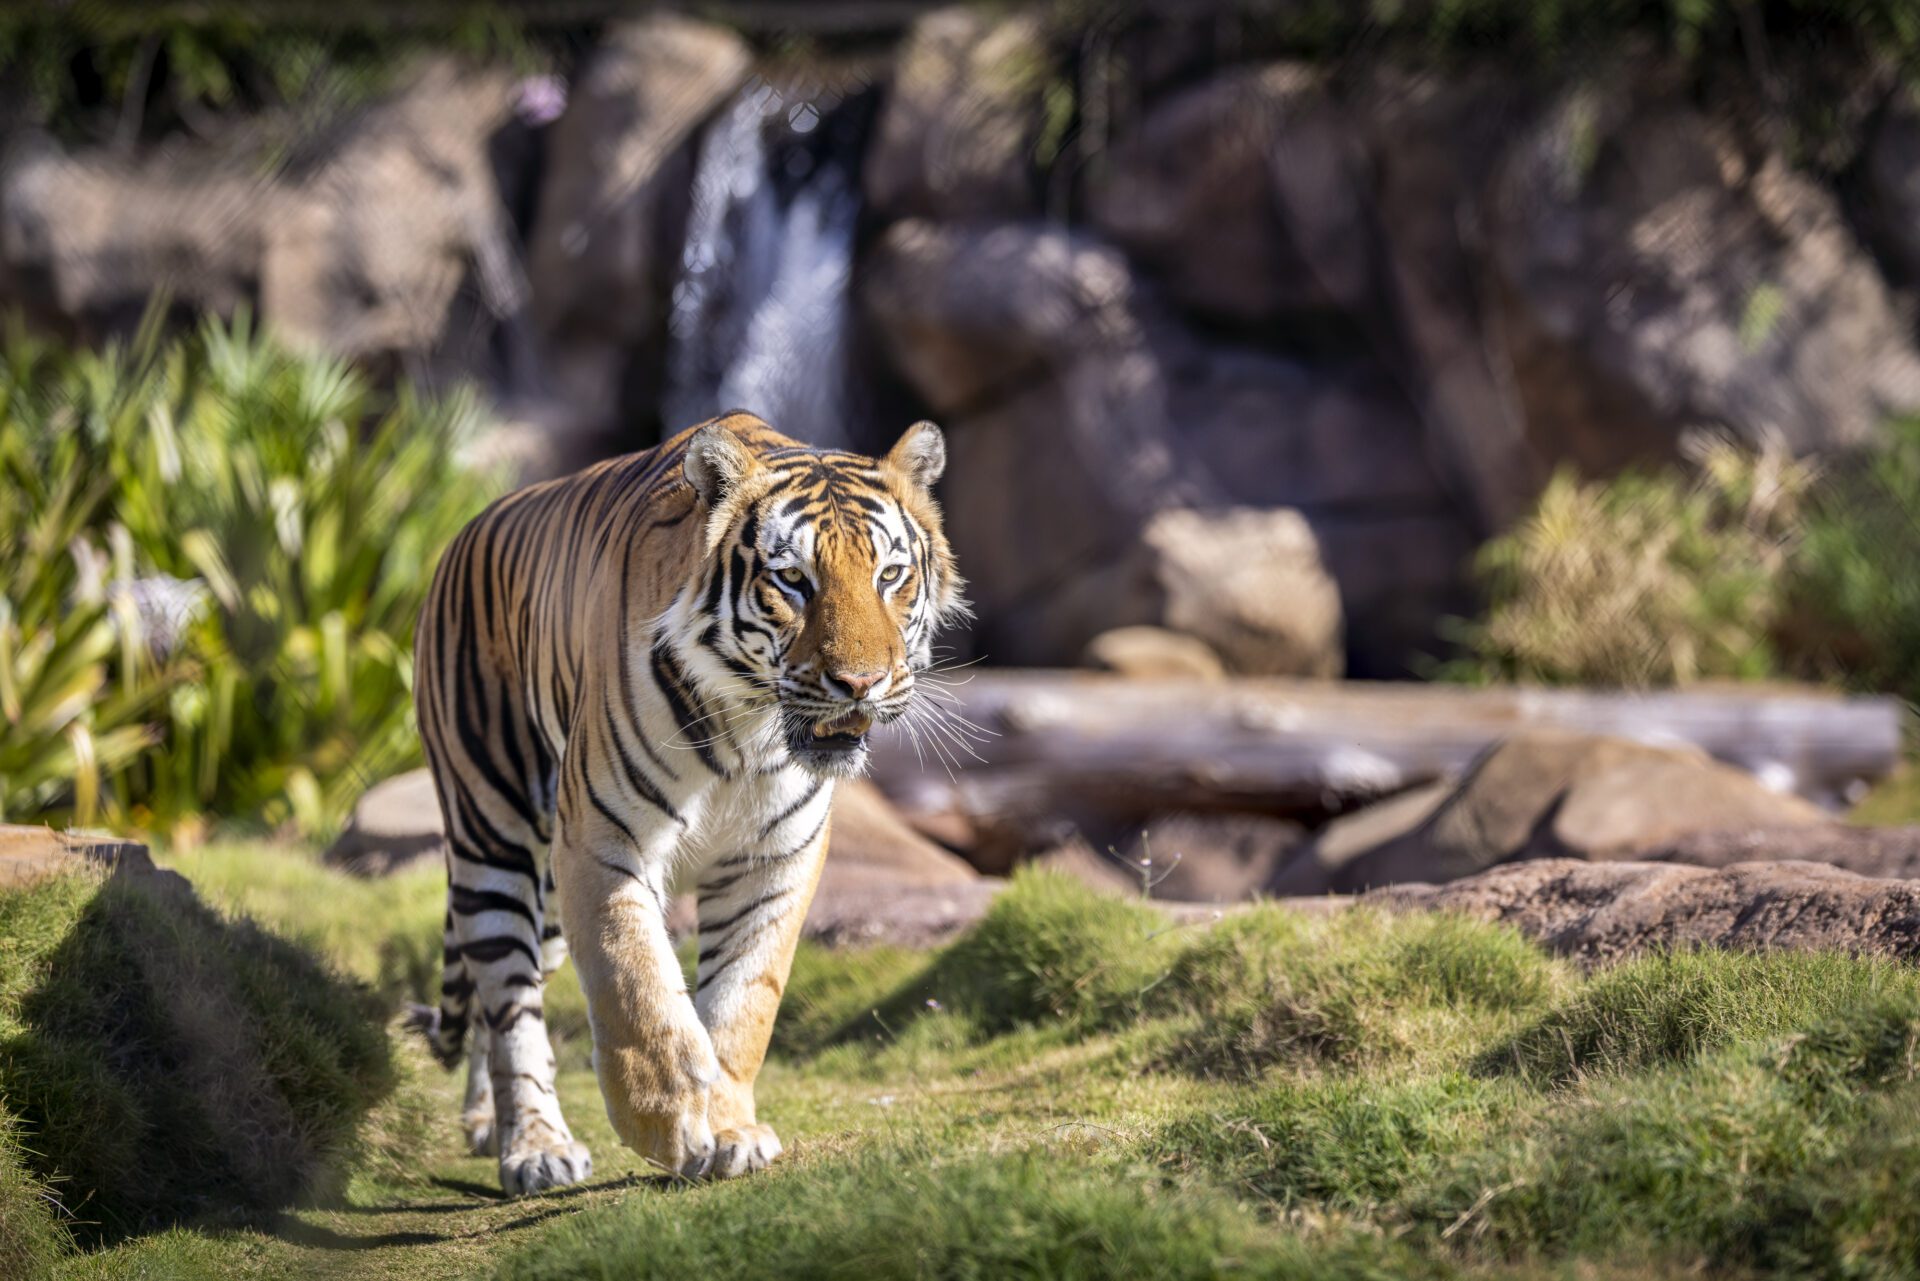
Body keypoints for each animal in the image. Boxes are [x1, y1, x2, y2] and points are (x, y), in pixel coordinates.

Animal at [411, 411, 963, 1195]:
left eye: (890, 575)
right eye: (793, 579)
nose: (861, 683)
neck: (750, 729)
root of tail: (466, 531)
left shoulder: (774, 860)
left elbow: (742, 1004)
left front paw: (728, 1131)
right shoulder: (603, 841)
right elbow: (635, 984)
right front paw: (668, 1124)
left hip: (545, 902)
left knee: (500, 1006)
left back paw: (491, 1126)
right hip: (493, 835)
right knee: (510, 1003)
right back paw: (536, 1146)